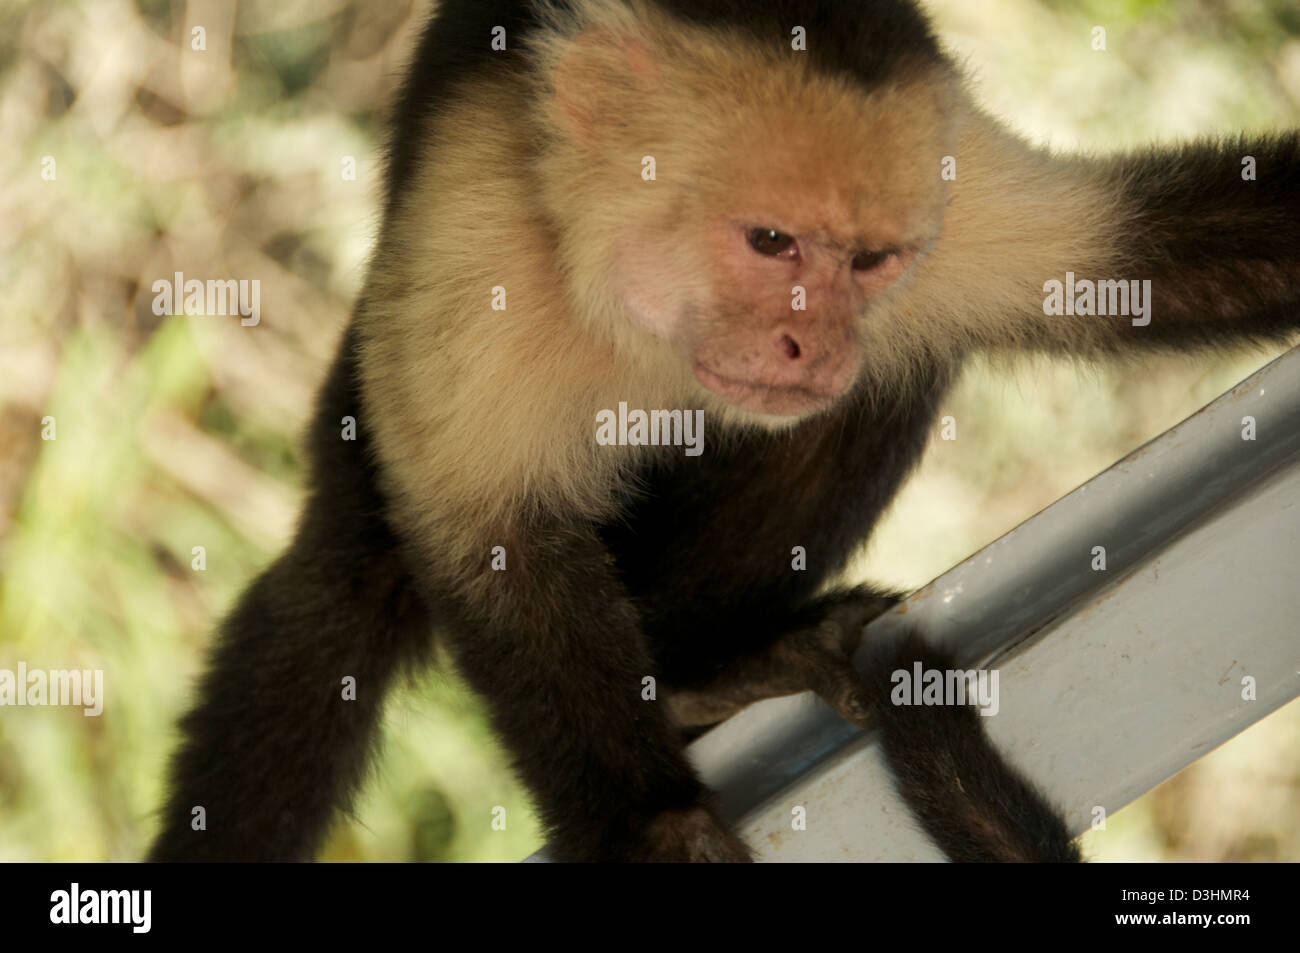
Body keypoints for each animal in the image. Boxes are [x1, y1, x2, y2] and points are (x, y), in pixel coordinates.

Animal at [148, 0, 1300, 863]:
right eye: (770, 240)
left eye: (869, 259)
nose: (812, 343)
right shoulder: (479, 232)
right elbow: (495, 538)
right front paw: (658, 831)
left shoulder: (958, 196)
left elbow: (1154, 261)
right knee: (338, 596)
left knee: (886, 374)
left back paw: (704, 669)